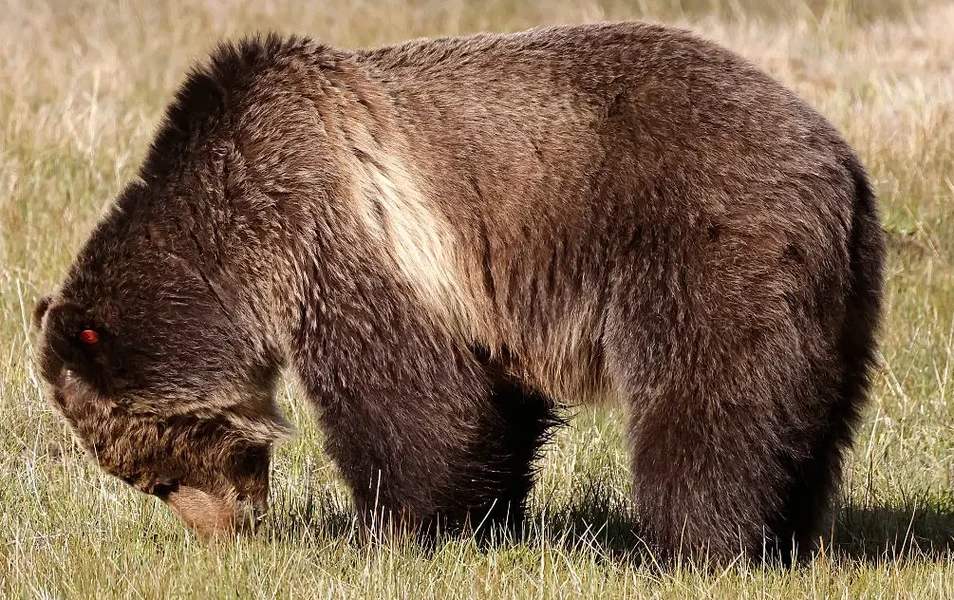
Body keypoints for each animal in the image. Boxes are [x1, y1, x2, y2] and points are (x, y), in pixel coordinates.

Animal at [33, 21, 885, 564]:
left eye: (154, 475)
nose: (226, 535)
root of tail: (837, 161)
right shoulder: (461, 297)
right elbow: (492, 406)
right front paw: (483, 522)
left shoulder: (340, 232)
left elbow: (414, 403)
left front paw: (386, 532)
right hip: (839, 301)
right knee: (811, 419)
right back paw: (790, 538)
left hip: (705, 247)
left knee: (706, 403)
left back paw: (689, 547)